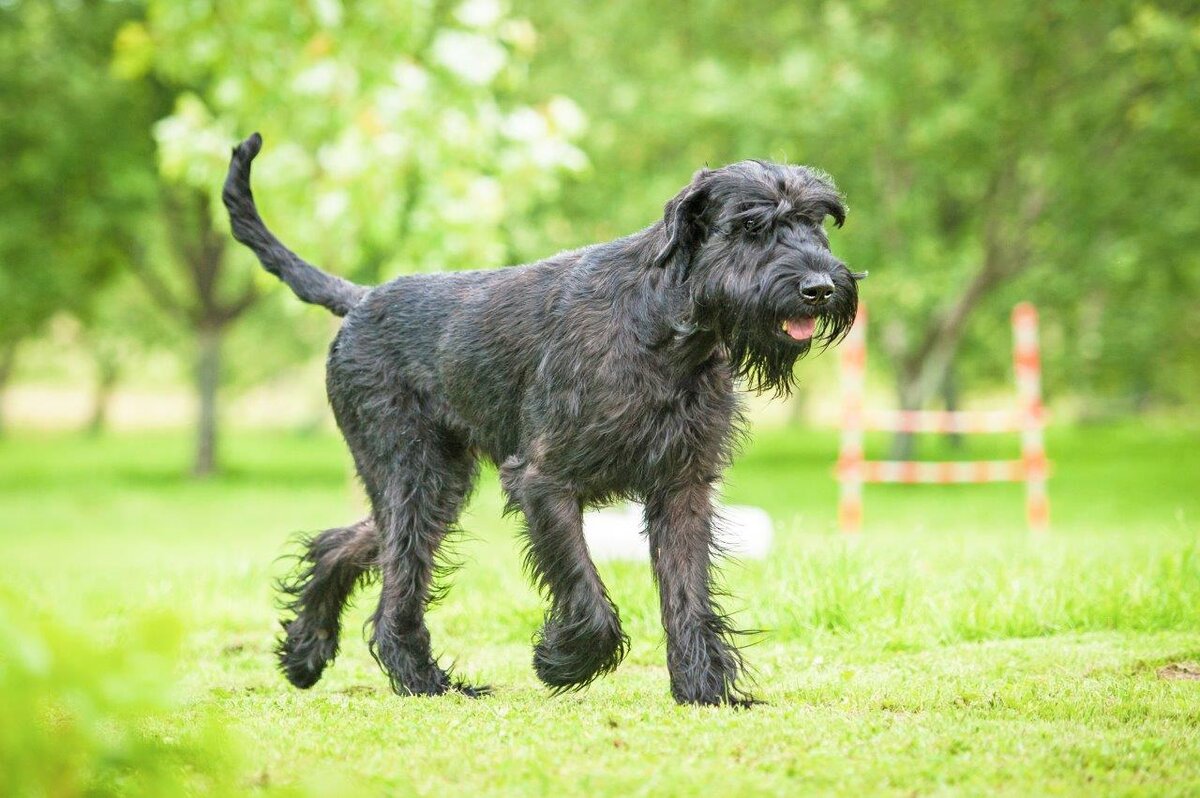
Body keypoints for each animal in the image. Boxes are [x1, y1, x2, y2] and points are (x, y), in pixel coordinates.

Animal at [223, 132, 864, 705]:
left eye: (817, 221)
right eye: (752, 225)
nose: (820, 287)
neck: (666, 331)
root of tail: (359, 299)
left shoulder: (682, 487)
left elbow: (688, 593)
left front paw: (704, 689)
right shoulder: (543, 480)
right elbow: (585, 588)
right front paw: (562, 663)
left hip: (437, 482)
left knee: (346, 544)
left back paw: (305, 653)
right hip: (413, 474)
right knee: (397, 585)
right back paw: (425, 682)